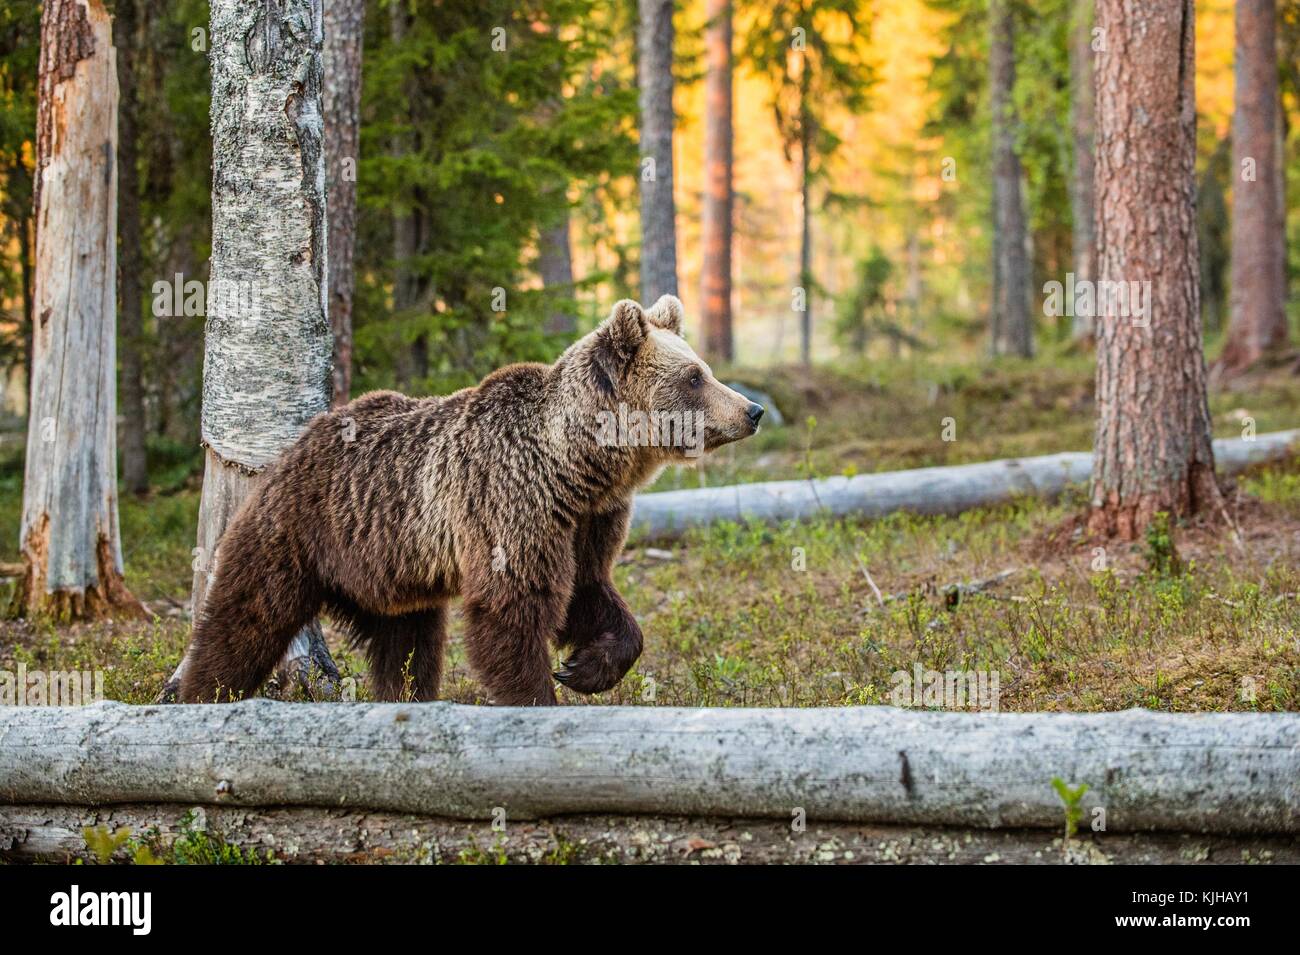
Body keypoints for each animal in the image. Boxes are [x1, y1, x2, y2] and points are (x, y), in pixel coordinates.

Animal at [178, 295, 763, 705]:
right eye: (695, 377)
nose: (752, 410)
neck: (580, 465)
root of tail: (292, 446)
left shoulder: (586, 519)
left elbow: (589, 588)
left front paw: (584, 667)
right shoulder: (511, 500)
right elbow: (511, 606)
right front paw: (536, 696)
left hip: (392, 569)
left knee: (408, 646)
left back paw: (407, 697)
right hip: (298, 529)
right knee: (248, 614)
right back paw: (203, 692)